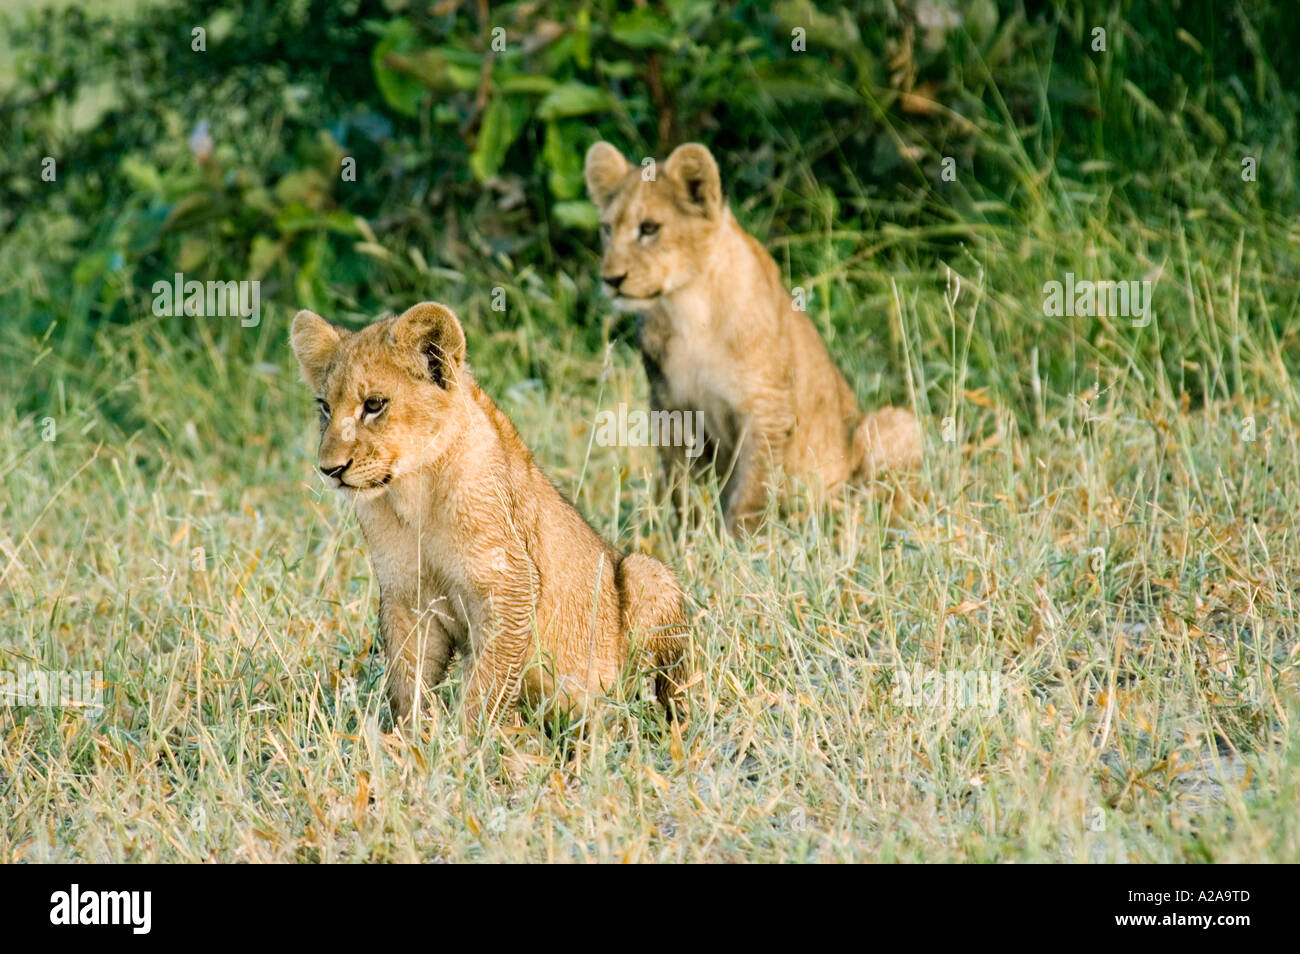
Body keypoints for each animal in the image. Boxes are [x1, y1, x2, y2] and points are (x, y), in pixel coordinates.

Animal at [290, 302, 691, 729]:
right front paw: (409, 739)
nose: (329, 470)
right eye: (325, 407)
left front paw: (468, 741)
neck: (414, 496)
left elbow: (485, 685)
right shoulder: (407, 598)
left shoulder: (511, 585)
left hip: (648, 573)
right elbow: (408, 682)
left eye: (374, 404)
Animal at [584, 141, 922, 532]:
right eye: (607, 229)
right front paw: (688, 537)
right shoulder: (671, 410)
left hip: (898, 425)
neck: (687, 308)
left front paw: (739, 541)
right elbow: (684, 491)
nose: (611, 279)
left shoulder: (766, 409)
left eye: (650, 228)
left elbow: (752, 492)